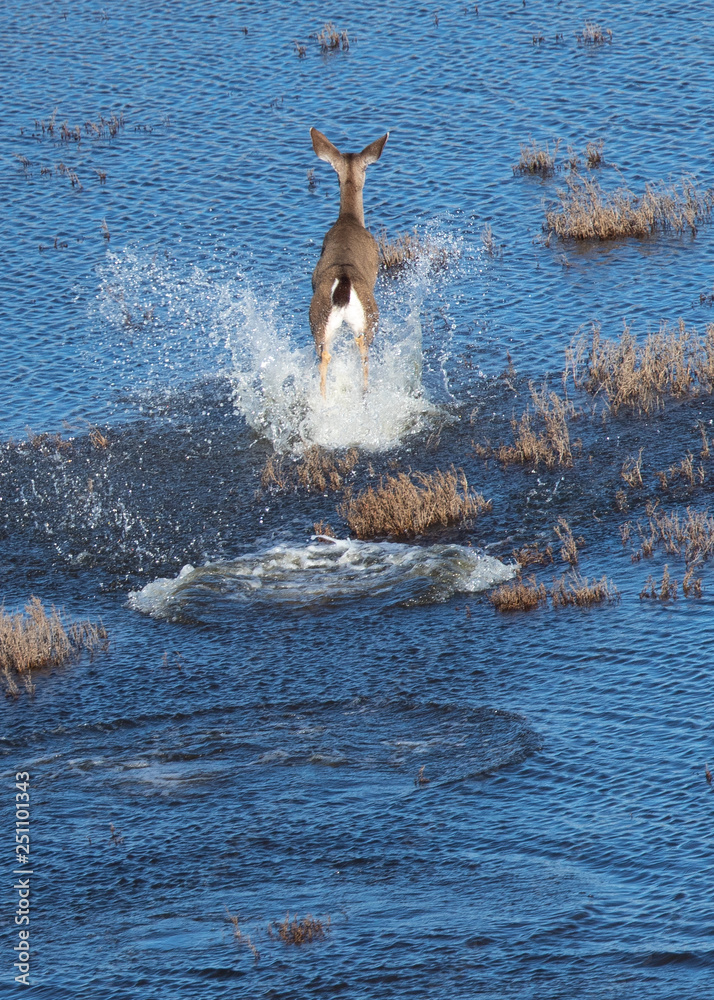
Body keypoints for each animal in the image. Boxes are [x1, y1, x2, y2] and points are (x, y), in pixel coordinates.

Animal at [308, 127, 389, 398]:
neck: (349, 220)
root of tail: (342, 285)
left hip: (319, 323)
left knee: (324, 355)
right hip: (369, 317)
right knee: (362, 349)